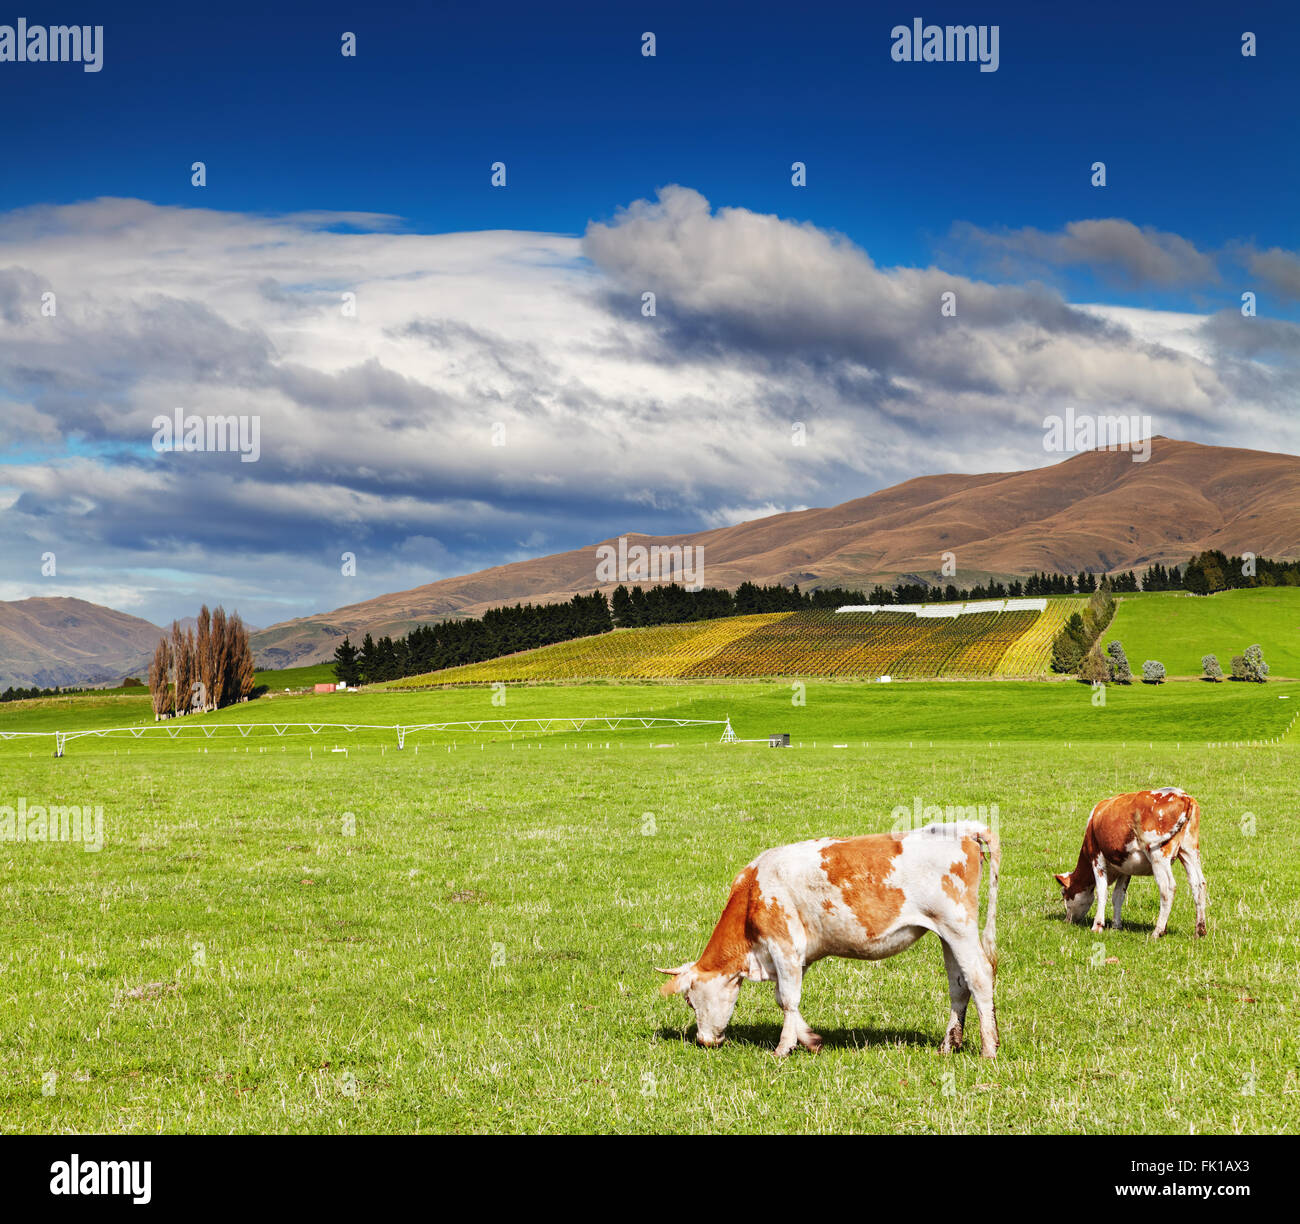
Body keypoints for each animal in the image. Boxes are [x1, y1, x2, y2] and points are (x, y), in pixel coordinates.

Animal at [657, 822, 1000, 1058]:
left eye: (690, 1000)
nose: (703, 1040)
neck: (753, 893)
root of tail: (962, 828)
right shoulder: (798, 957)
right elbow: (786, 999)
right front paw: (810, 1040)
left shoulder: (784, 947)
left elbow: (787, 1000)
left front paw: (782, 1049)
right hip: (947, 935)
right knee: (959, 985)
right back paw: (948, 1045)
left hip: (959, 928)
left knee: (980, 977)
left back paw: (989, 1049)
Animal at [1054, 787, 1207, 938]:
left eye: (1064, 893)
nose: (1067, 920)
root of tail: (1184, 796)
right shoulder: (1125, 868)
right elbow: (1118, 896)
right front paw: (1116, 926)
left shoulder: (1096, 858)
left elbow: (1102, 892)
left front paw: (1097, 925)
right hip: (1189, 851)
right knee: (1198, 884)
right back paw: (1200, 930)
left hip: (1158, 855)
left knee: (1167, 888)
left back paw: (1157, 931)